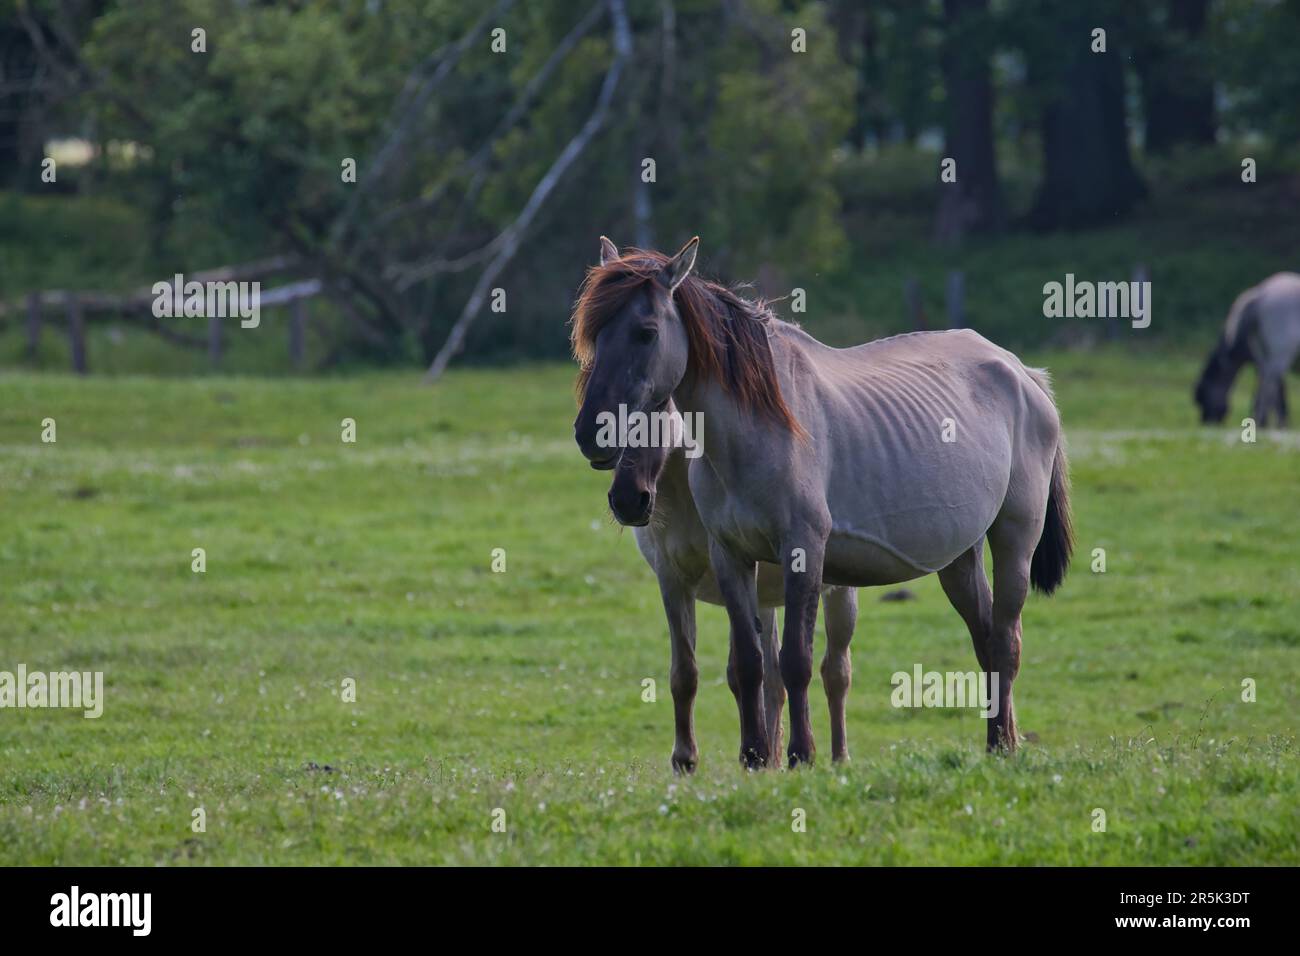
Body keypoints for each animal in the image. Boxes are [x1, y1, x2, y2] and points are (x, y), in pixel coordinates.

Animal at [604, 390, 860, 772]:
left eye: (660, 405)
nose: (627, 499)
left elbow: (743, 671)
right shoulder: (674, 578)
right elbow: (693, 672)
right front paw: (688, 759)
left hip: (838, 594)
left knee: (836, 672)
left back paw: (839, 758)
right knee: (775, 678)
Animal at [1194, 272, 1300, 428]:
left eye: (1202, 397)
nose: (1207, 421)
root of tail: (1262, 294)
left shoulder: (1259, 360)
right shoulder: (1263, 359)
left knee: (1269, 384)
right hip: (1278, 355)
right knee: (1269, 383)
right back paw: (1264, 421)